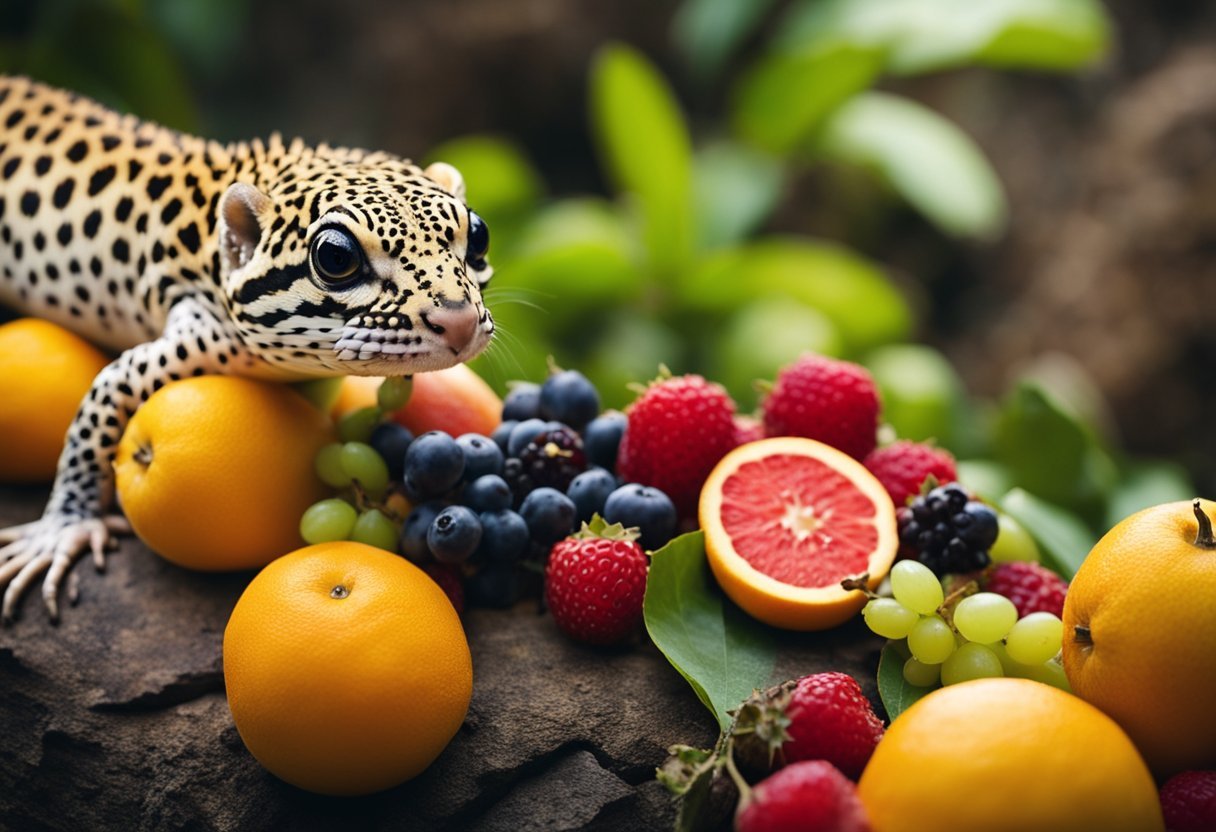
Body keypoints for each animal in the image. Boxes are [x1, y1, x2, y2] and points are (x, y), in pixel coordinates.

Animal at [0, 75, 495, 623]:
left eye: (478, 235)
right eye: (335, 256)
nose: (459, 320)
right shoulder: (185, 335)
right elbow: (92, 422)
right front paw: (64, 528)